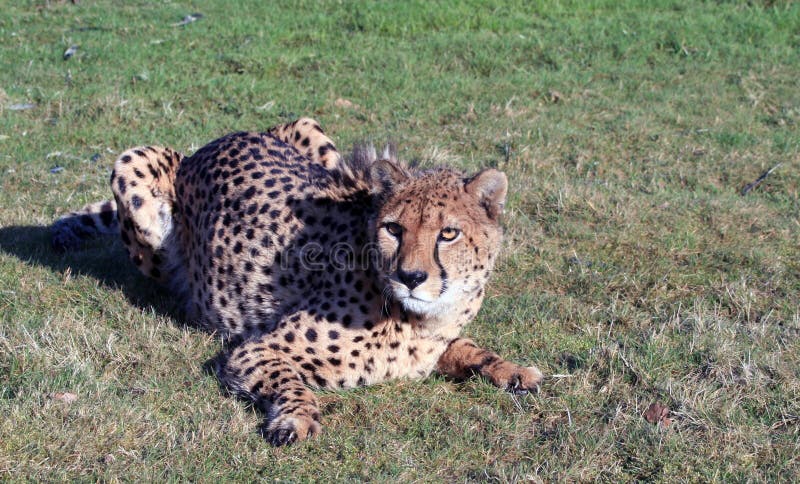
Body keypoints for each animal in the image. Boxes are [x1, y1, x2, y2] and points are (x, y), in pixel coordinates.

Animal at [51, 117, 544, 446]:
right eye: (393, 228)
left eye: (448, 233)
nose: (410, 276)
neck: (423, 319)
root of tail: (203, 148)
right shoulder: (253, 349)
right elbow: (291, 380)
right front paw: (296, 419)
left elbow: (468, 348)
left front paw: (511, 369)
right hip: (135, 165)